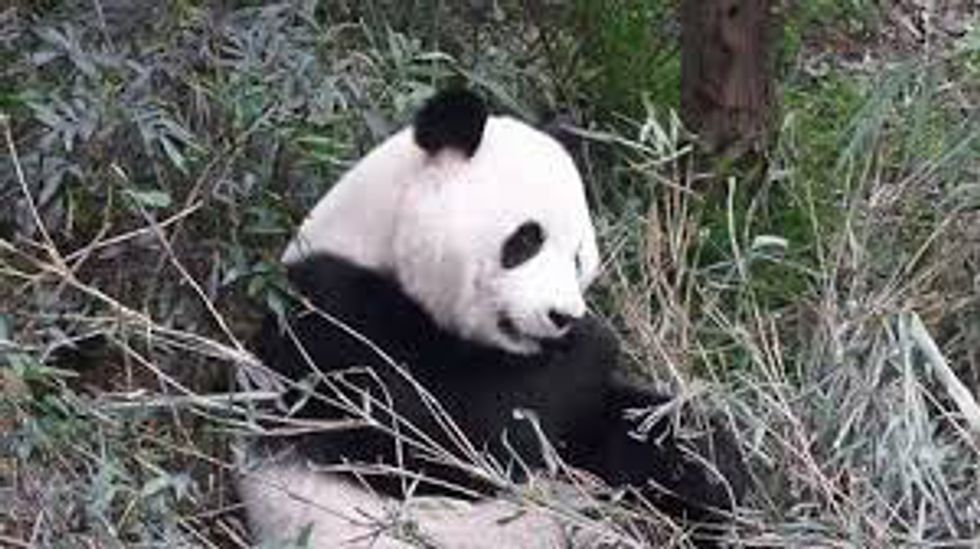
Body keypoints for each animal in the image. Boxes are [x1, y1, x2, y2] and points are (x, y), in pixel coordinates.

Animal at [238, 89, 745, 548]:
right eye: (526, 240)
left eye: (578, 257)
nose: (562, 316)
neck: (378, 241)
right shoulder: (332, 325)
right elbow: (458, 436)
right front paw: (596, 340)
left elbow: (612, 426)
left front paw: (709, 467)